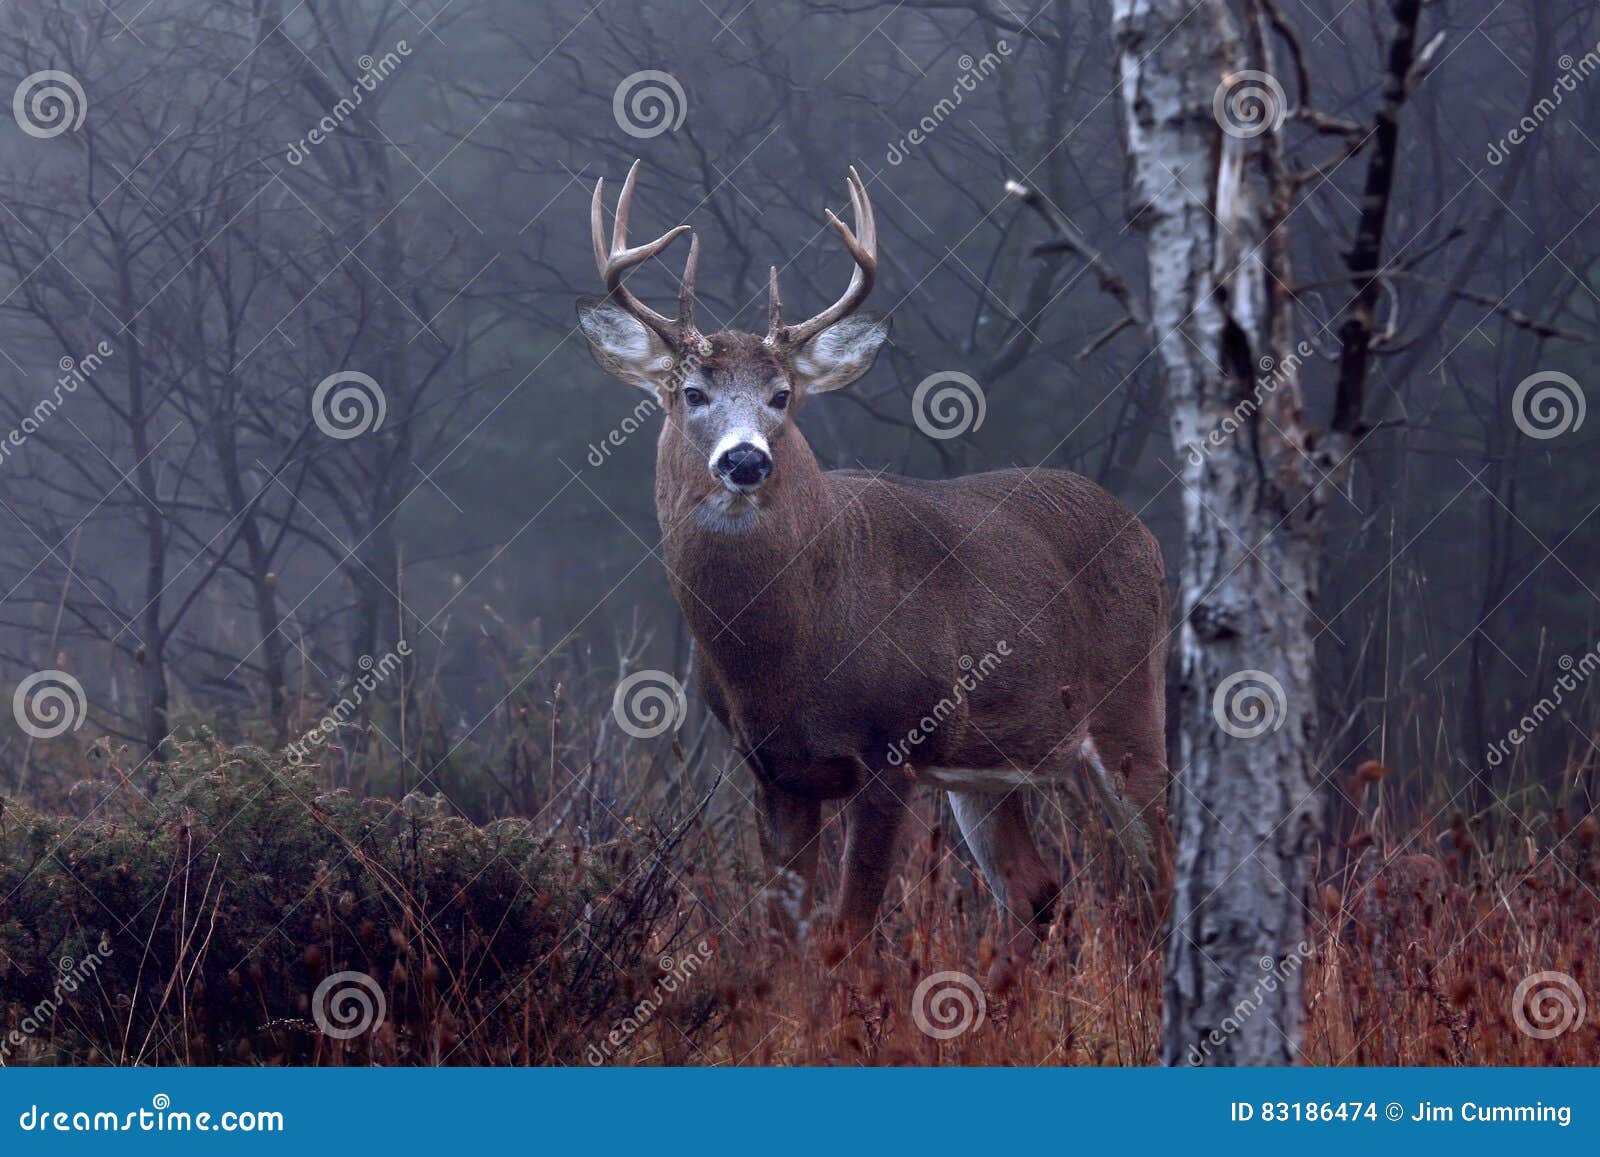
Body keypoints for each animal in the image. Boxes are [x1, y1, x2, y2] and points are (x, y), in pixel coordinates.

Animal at [577, 161, 1171, 983]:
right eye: (692, 393)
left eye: (782, 395)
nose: (745, 458)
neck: (786, 653)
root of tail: (1145, 534)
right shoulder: (773, 771)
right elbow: (783, 943)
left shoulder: (892, 749)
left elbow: (848, 935)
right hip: (987, 770)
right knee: (1036, 889)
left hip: (1130, 706)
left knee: (1162, 876)